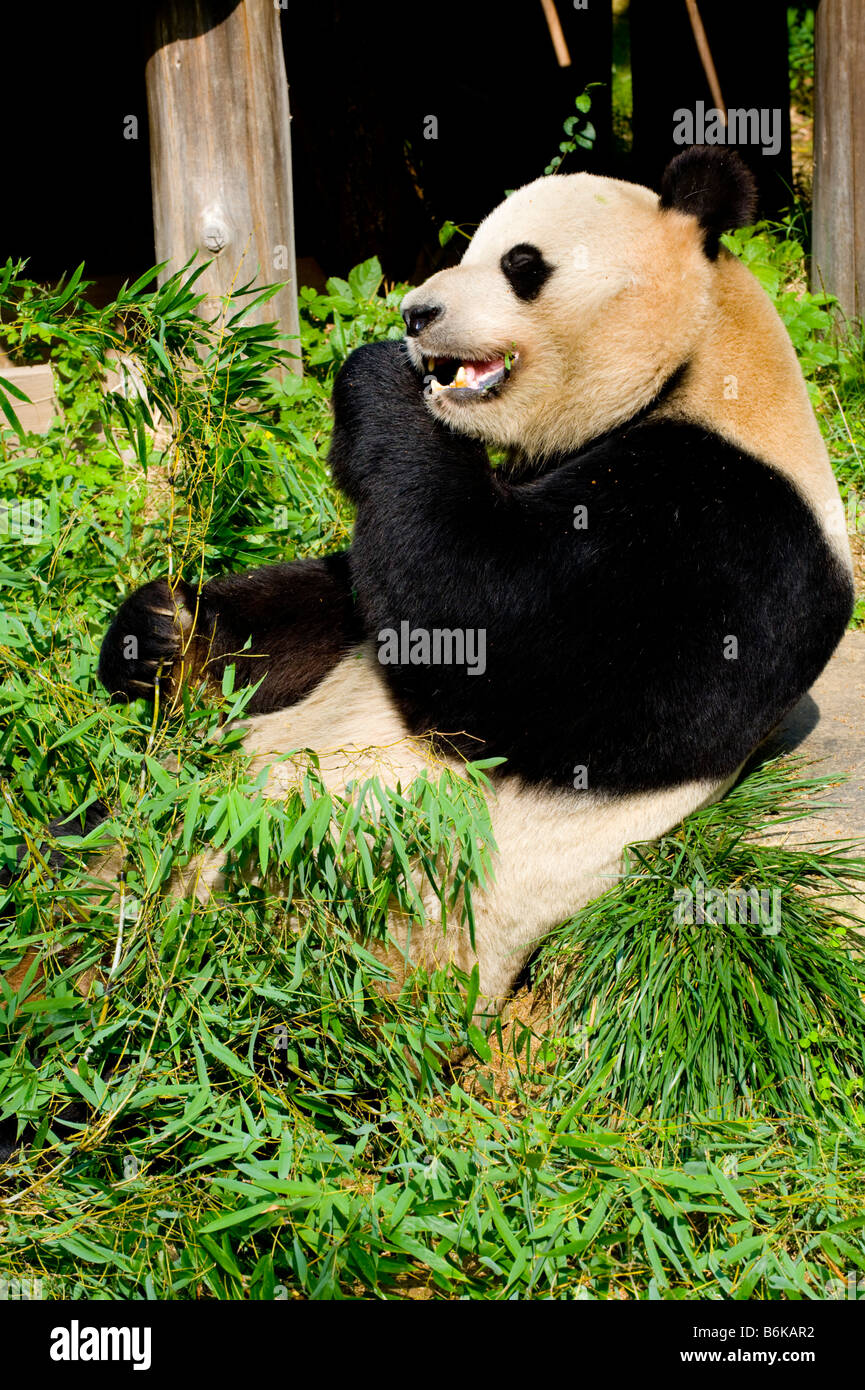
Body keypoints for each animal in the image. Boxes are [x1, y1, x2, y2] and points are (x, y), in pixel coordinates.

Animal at [94, 146, 853, 1017]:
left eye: (521, 264)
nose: (415, 313)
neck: (699, 362)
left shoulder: (733, 533)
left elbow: (493, 637)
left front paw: (379, 375)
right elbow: (348, 603)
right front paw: (160, 633)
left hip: (353, 911)